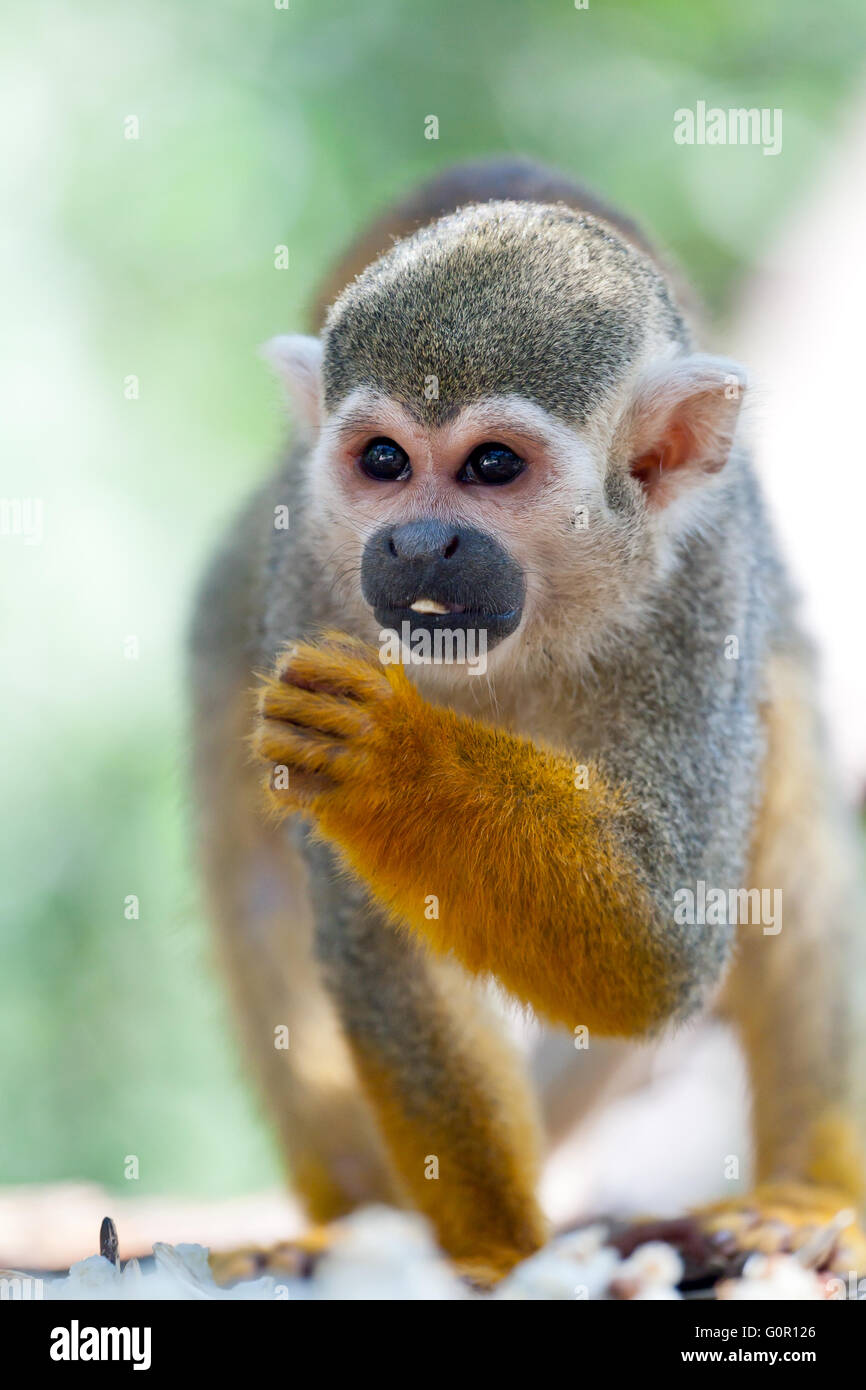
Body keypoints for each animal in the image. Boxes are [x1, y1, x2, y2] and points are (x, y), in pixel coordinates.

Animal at [189, 157, 866, 1286]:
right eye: (383, 460)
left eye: (492, 467)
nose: (416, 544)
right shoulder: (310, 586)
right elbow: (377, 949)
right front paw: (493, 1248)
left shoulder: (704, 583)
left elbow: (664, 946)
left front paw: (395, 761)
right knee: (253, 880)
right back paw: (351, 1219)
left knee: (799, 856)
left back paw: (808, 1197)